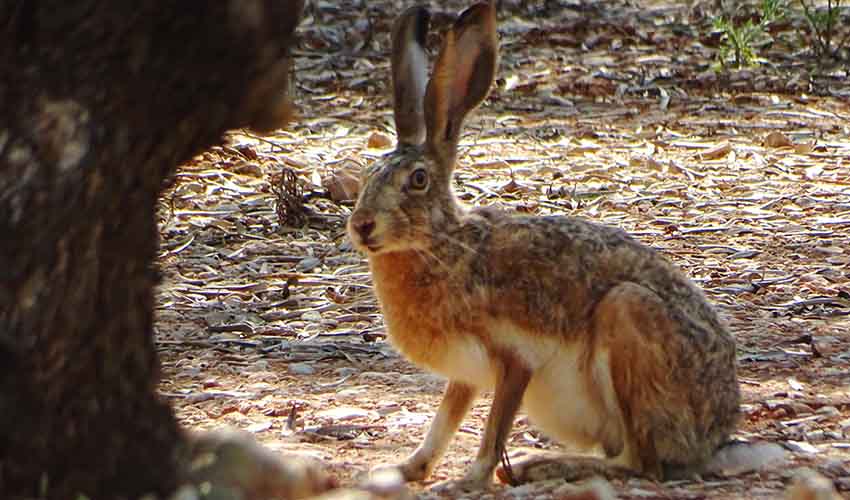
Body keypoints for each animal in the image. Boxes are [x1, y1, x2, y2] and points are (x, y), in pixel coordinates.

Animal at [347, 1, 774, 490]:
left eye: (417, 180)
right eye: (367, 174)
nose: (361, 226)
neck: (445, 241)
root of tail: (714, 438)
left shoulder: (515, 360)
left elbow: (494, 428)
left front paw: (468, 479)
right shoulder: (466, 375)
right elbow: (445, 420)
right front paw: (404, 469)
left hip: (627, 317)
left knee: (641, 466)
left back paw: (541, 464)